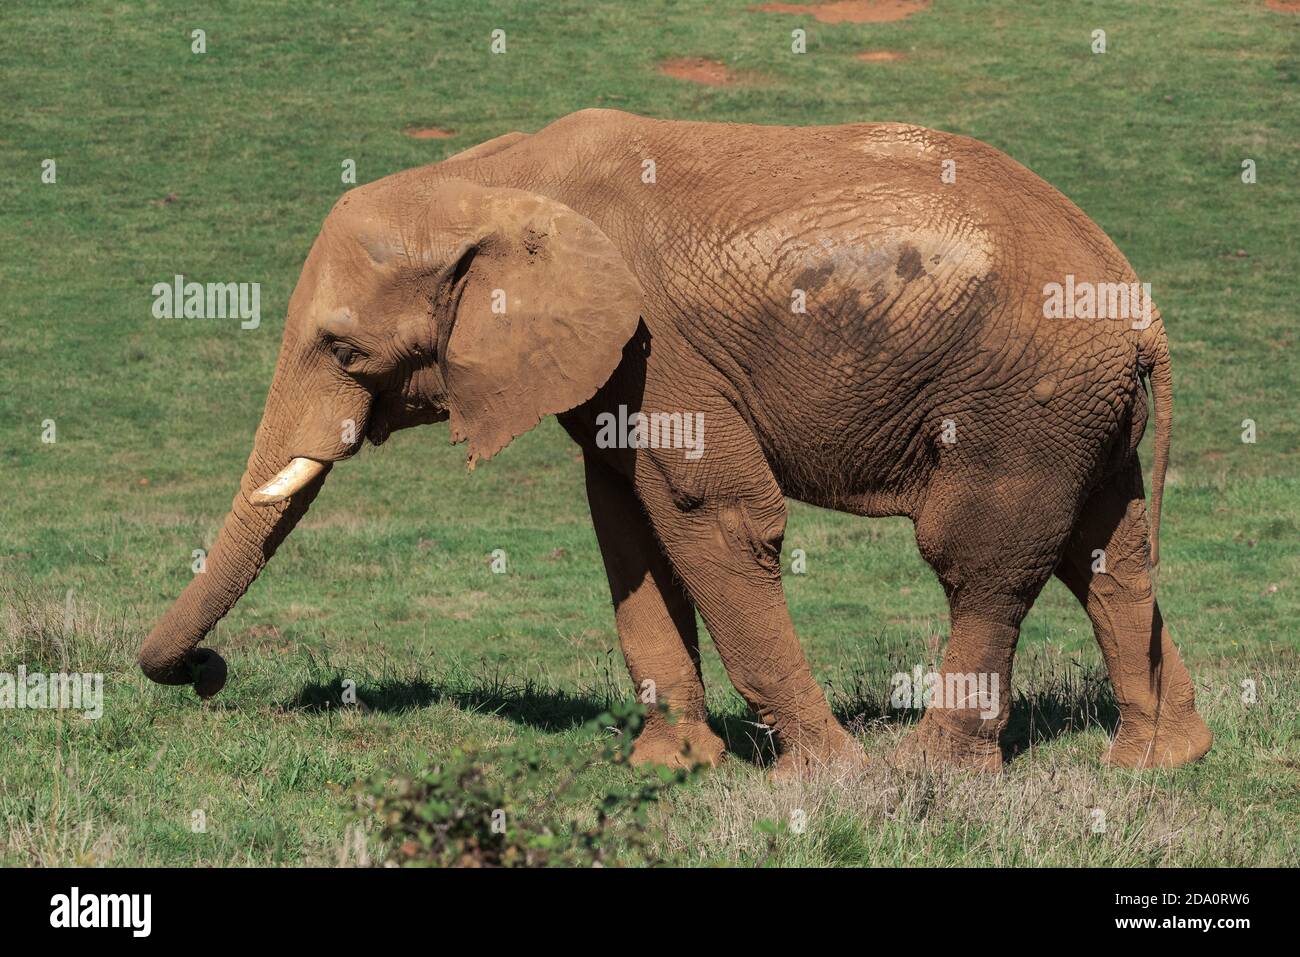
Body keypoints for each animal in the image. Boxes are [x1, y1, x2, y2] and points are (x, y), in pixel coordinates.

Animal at [138, 108, 1213, 776]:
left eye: (344, 348)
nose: (211, 673)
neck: (493, 177)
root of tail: (1142, 311)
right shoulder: (614, 365)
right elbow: (627, 524)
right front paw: (674, 767)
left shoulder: (662, 348)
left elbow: (716, 518)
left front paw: (822, 778)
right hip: (1076, 411)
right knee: (1111, 555)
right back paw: (1158, 761)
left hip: (1022, 401)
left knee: (979, 561)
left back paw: (931, 770)